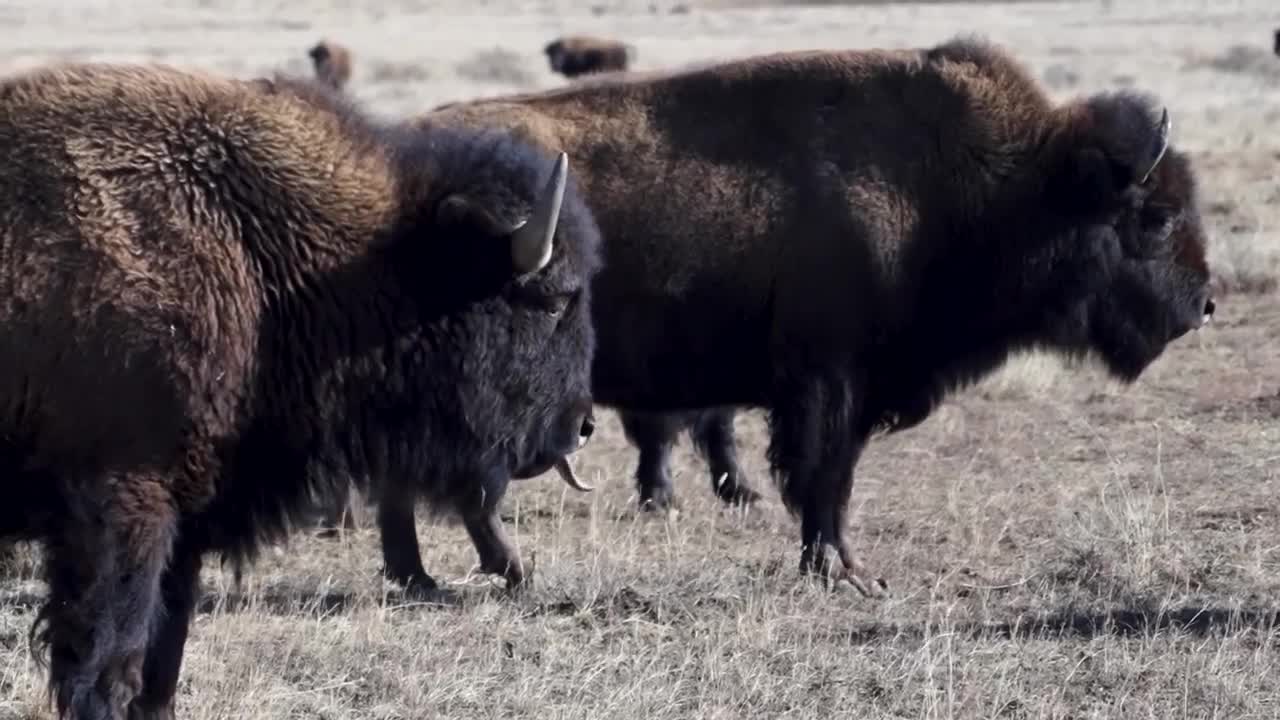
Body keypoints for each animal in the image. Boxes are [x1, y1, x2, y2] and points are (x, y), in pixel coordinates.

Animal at [0, 62, 601, 719]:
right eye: (552, 299)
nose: (581, 425)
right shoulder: (124, 507)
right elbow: (111, 661)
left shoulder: (190, 515)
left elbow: (164, 656)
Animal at [398, 36, 1215, 597]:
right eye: (1153, 216)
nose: (1205, 304)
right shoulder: (829, 383)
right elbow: (824, 477)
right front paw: (845, 572)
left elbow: (821, 475)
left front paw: (839, 566)